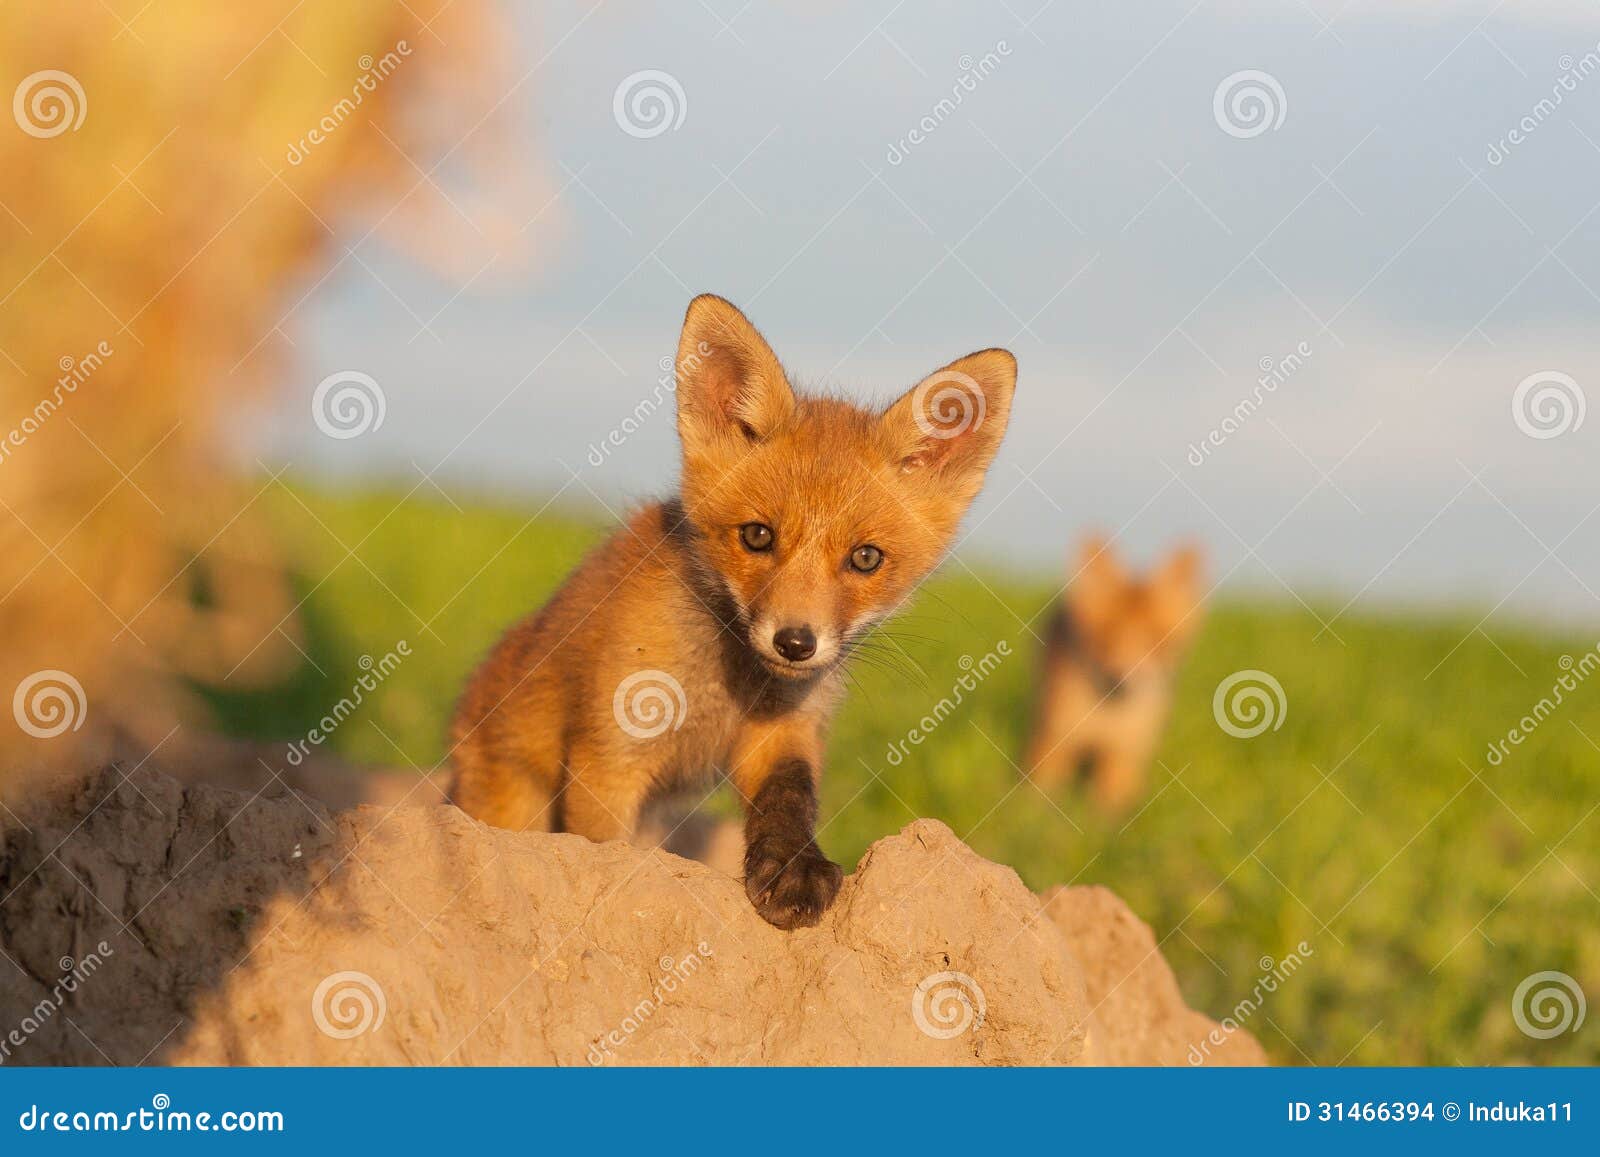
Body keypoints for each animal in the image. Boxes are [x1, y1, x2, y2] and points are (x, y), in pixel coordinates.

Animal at [449, 294, 1016, 929]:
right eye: (757, 536)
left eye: (866, 558)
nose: (795, 642)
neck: (728, 689)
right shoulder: (609, 757)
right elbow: (602, 847)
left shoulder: (781, 731)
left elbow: (789, 798)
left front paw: (794, 868)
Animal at [1021, 537, 1205, 811]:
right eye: (1105, 636)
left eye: (1156, 642)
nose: (1120, 681)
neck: (1107, 716)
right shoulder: (1058, 737)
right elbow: (1040, 794)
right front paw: (1031, 814)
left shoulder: (1122, 752)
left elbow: (1108, 805)